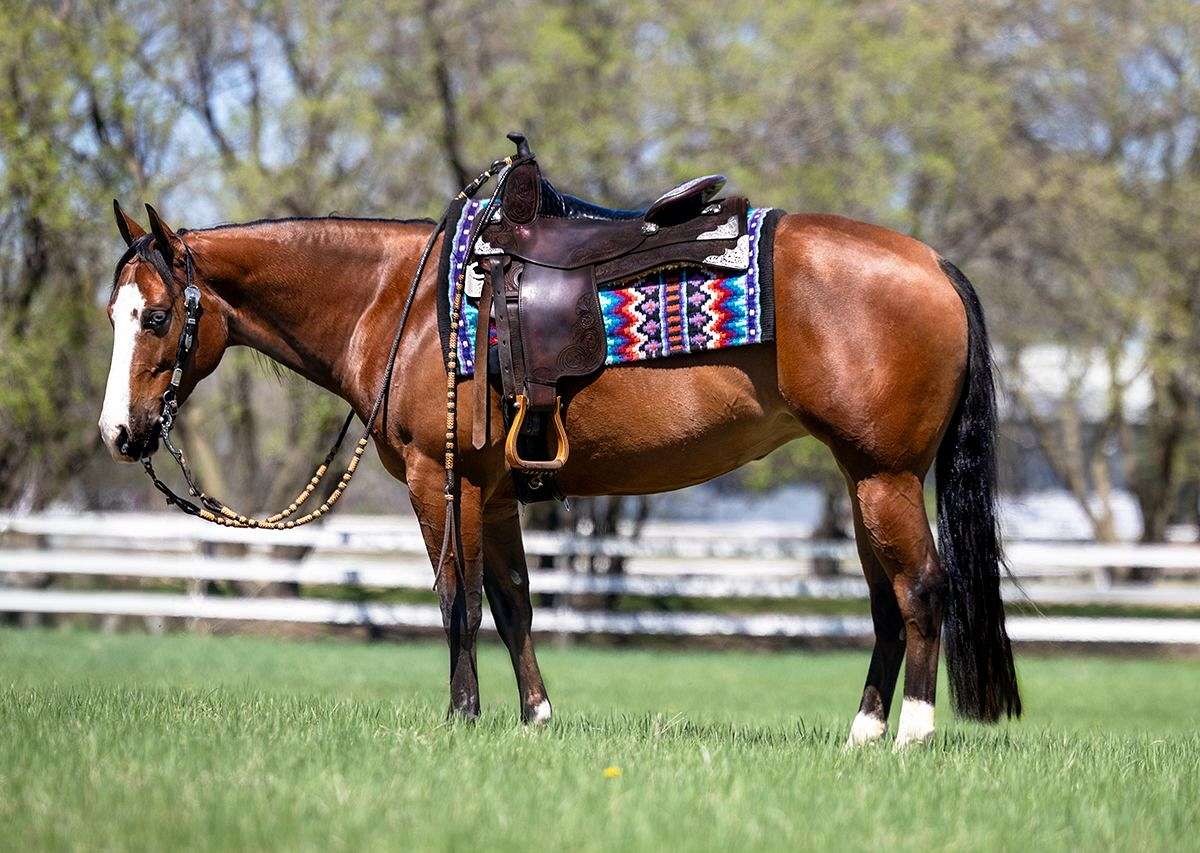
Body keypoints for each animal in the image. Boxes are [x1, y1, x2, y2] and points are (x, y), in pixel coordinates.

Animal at [99, 195, 1020, 748]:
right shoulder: (500, 492)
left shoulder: (442, 482)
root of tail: (934, 264)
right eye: (113, 312)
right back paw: (863, 733)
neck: (400, 301)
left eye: (156, 316)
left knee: (922, 587)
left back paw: (914, 734)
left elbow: (457, 599)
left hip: (887, 476)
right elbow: (513, 604)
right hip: (863, 479)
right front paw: (535, 717)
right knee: (887, 600)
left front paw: (462, 716)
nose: (119, 433)